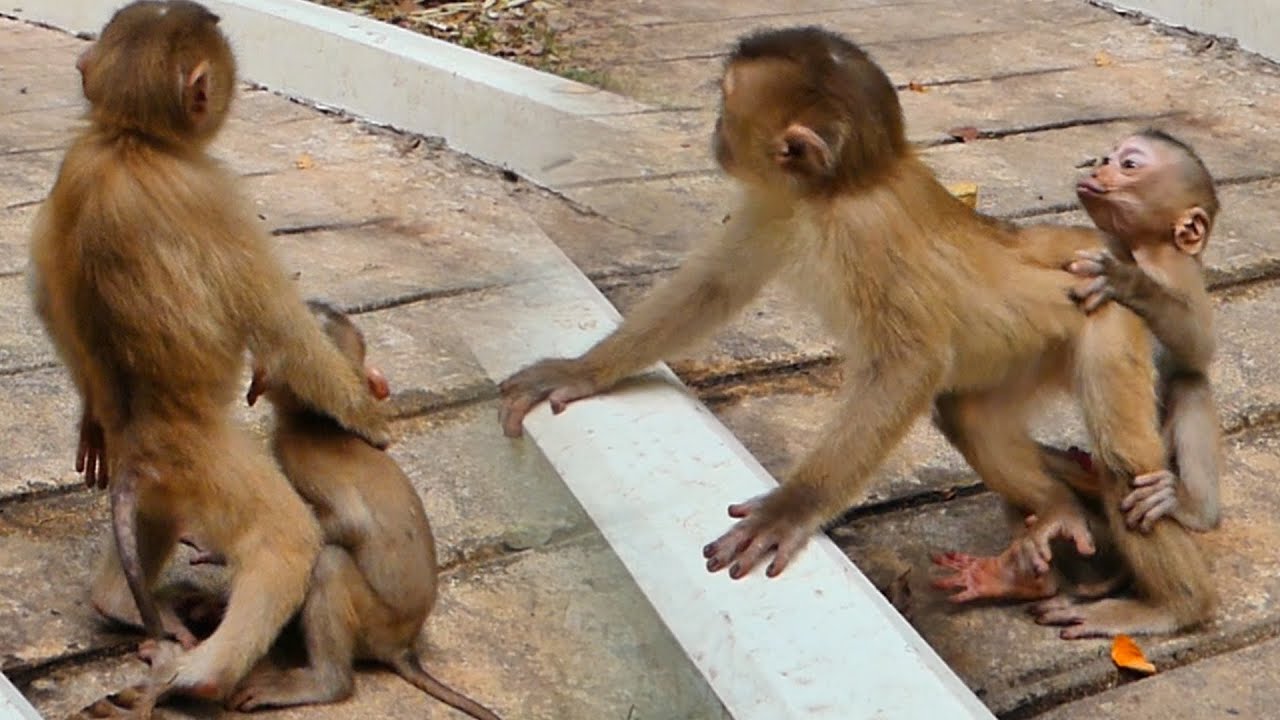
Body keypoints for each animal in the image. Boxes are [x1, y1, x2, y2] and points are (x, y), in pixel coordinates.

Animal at [29, 0, 390, 710]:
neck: (131, 141)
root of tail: (152, 441)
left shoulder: (75, 165)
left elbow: (46, 295)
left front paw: (86, 419)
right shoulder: (216, 193)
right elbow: (282, 328)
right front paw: (366, 412)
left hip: (163, 464)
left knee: (157, 507)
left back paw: (116, 601)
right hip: (207, 459)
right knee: (283, 539)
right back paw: (207, 676)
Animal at [222, 301, 502, 720]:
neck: (319, 421)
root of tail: (402, 646)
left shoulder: (296, 449)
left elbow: (350, 524)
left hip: (376, 622)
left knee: (330, 563)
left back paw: (327, 682)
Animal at [933, 131, 1224, 615]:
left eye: (1129, 165)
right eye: (1107, 158)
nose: (1098, 169)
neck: (1138, 248)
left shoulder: (1176, 268)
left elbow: (1196, 345)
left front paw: (1129, 283)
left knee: (1189, 386)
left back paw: (1192, 511)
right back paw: (1032, 576)